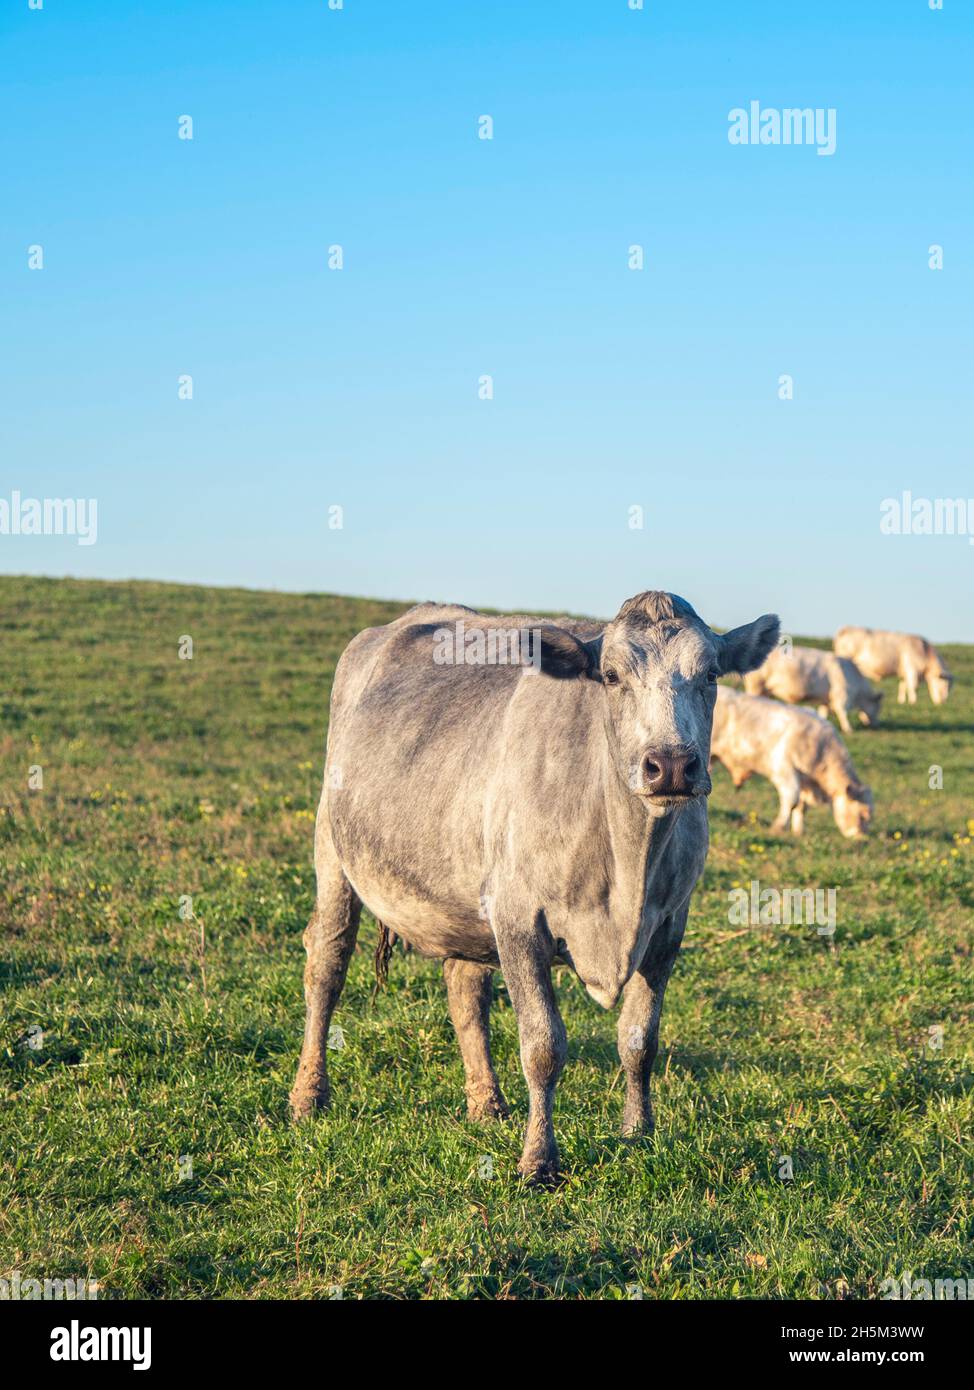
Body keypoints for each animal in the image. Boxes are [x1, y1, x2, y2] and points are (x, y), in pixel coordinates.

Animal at [289, 591, 779, 1184]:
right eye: (611, 675)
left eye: (710, 674)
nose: (670, 764)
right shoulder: (519, 918)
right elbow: (543, 1046)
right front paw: (539, 1158)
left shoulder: (668, 926)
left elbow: (639, 1040)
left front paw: (638, 1132)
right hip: (332, 851)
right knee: (327, 965)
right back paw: (309, 1095)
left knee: (465, 991)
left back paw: (486, 1104)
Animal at [710, 686, 873, 837]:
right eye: (862, 815)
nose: (861, 838)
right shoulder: (785, 770)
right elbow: (792, 800)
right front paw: (778, 827)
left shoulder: (805, 782)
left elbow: (802, 806)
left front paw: (798, 831)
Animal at [743, 645, 882, 734]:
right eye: (877, 707)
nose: (876, 725)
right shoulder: (842, 695)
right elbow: (843, 712)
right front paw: (848, 729)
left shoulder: (826, 698)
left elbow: (823, 712)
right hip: (756, 686)